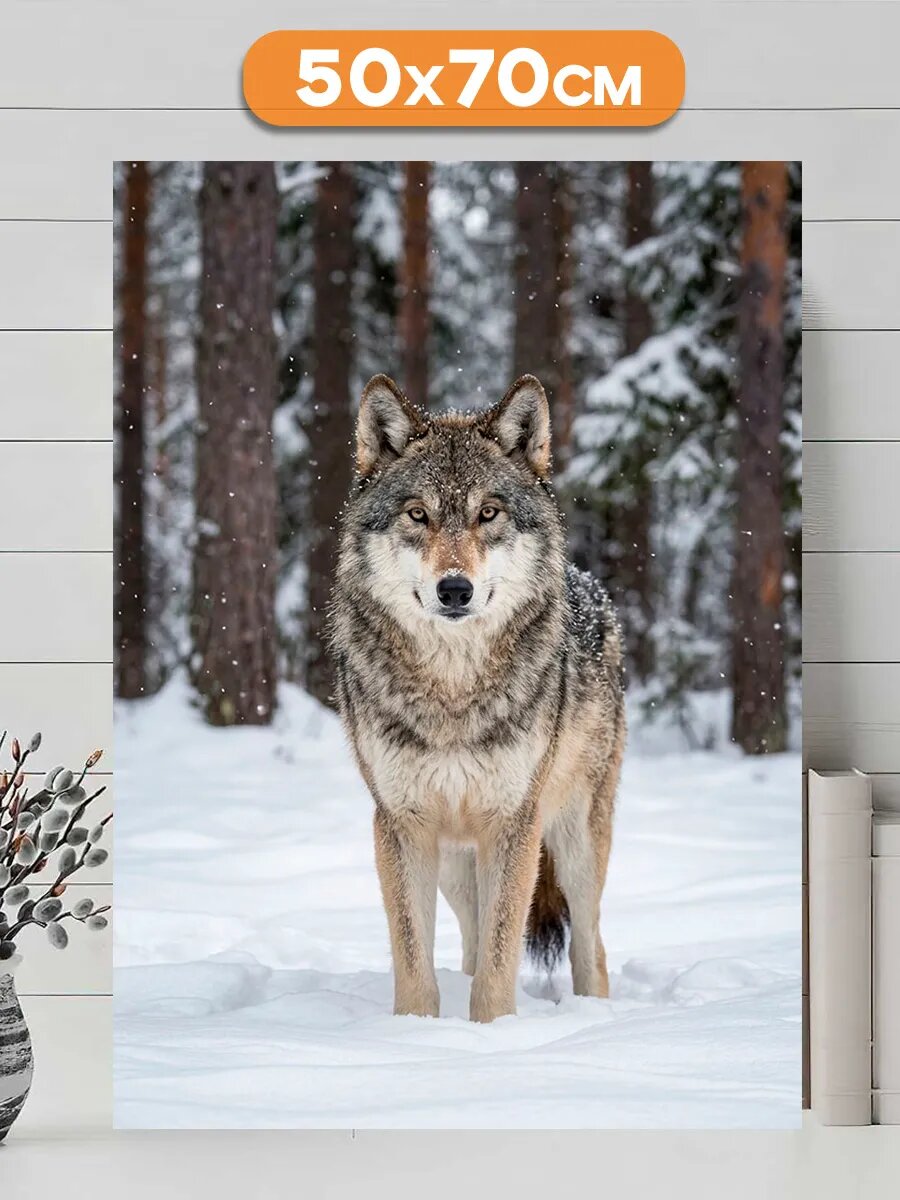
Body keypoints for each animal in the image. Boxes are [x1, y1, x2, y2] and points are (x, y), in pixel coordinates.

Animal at [331, 373, 625, 1023]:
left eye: (487, 513)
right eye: (418, 514)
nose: (454, 589)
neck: (452, 693)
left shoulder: (514, 824)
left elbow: (499, 961)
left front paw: (493, 1035)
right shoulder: (401, 824)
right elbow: (415, 961)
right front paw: (417, 1033)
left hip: (574, 842)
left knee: (591, 946)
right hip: (455, 862)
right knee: (468, 943)